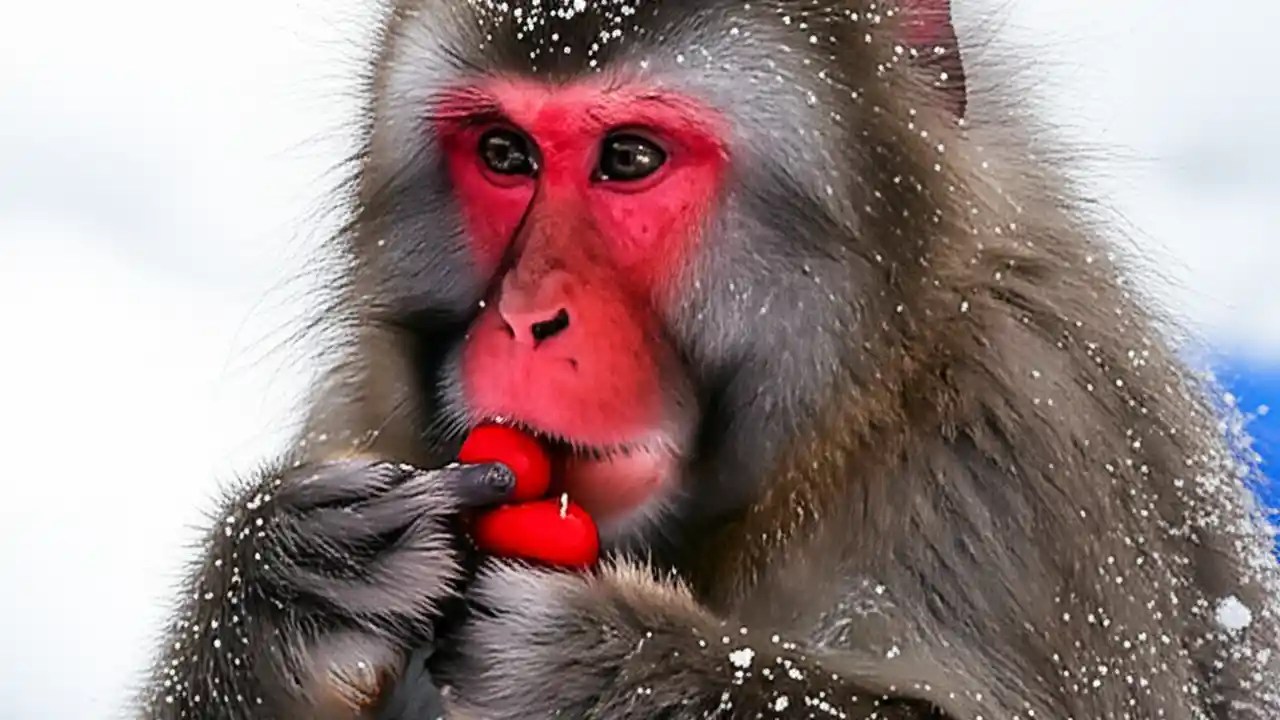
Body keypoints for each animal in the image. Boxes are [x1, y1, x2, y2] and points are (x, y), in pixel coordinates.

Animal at [137, 0, 1280, 718]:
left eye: (629, 158)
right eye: (504, 153)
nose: (525, 319)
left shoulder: (1027, 443)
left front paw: (602, 664)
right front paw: (281, 587)